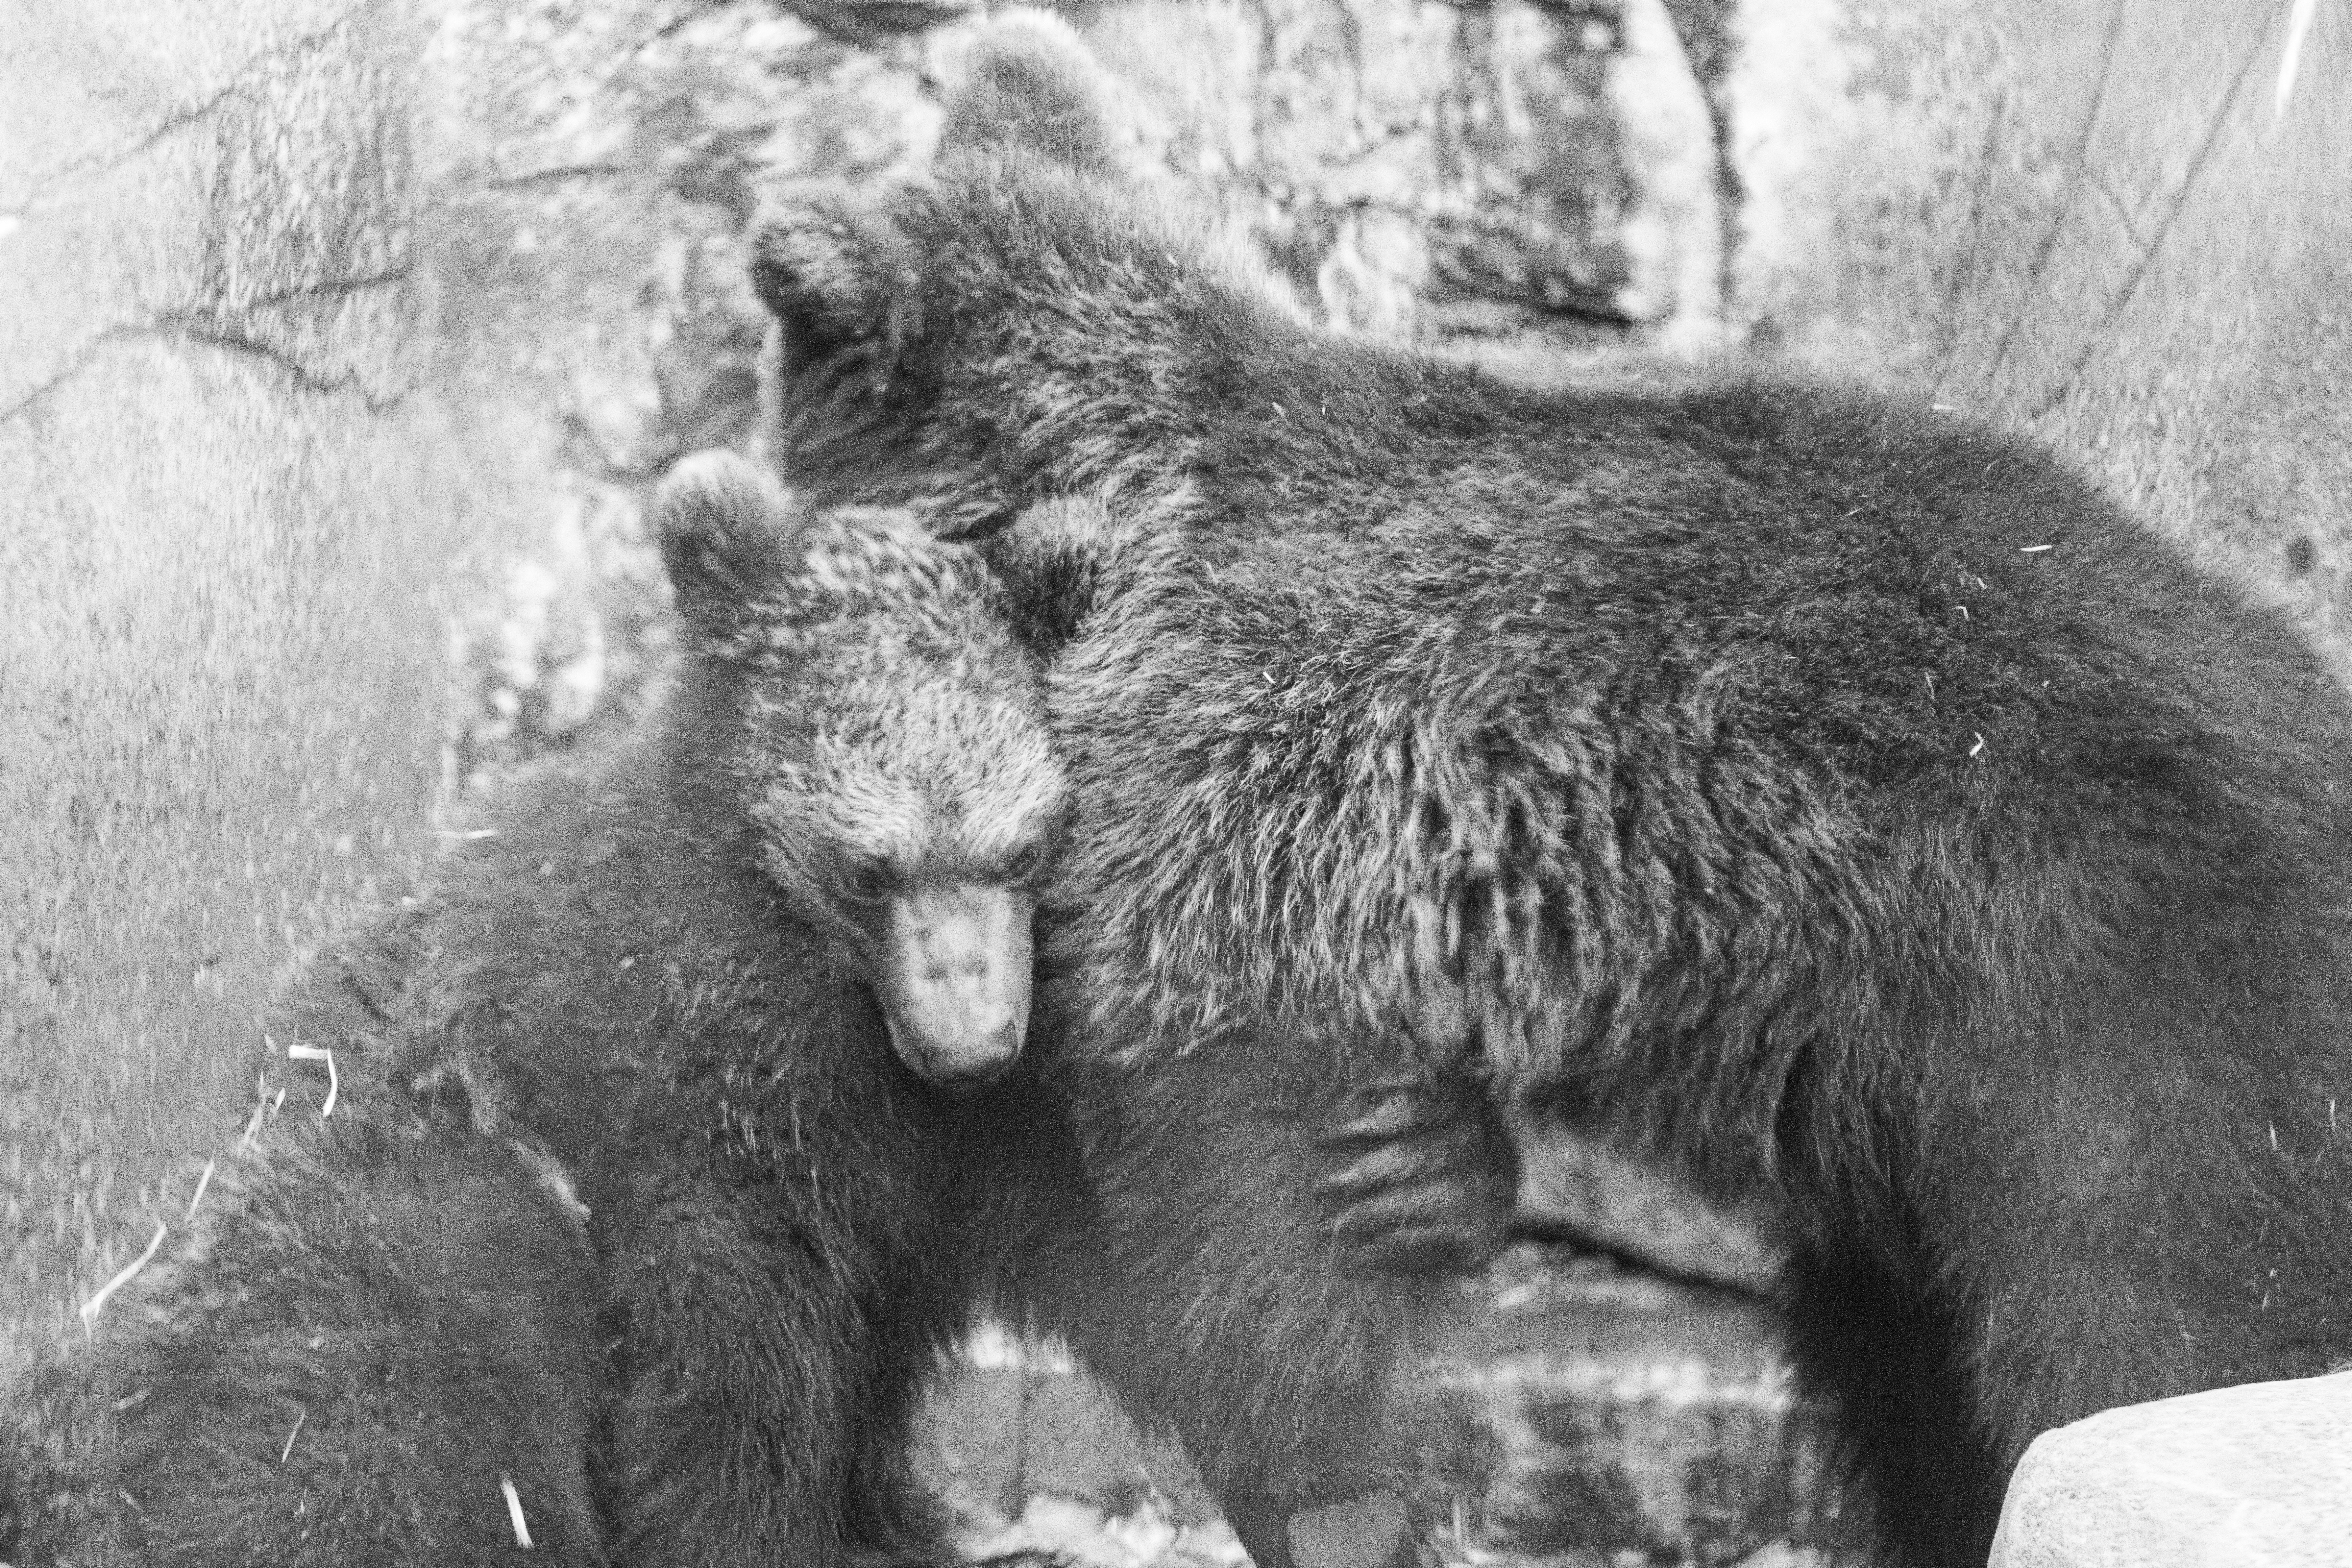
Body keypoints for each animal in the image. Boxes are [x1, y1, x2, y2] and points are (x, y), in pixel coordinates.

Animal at [106, 449, 1089, 1568]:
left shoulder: (905, 1182)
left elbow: (876, 1349)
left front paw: (899, 1518)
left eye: (1020, 849)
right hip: (415, 1203)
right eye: (867, 871)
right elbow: (730, 1375)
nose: (969, 1041)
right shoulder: (684, 1106)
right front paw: (753, 1529)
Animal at [745, 17, 2352, 1568]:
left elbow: (1241, 1222)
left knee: (2157, 1320)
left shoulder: (1233, 811)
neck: (1108, 523)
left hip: (2117, 998)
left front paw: (1329, 1471)